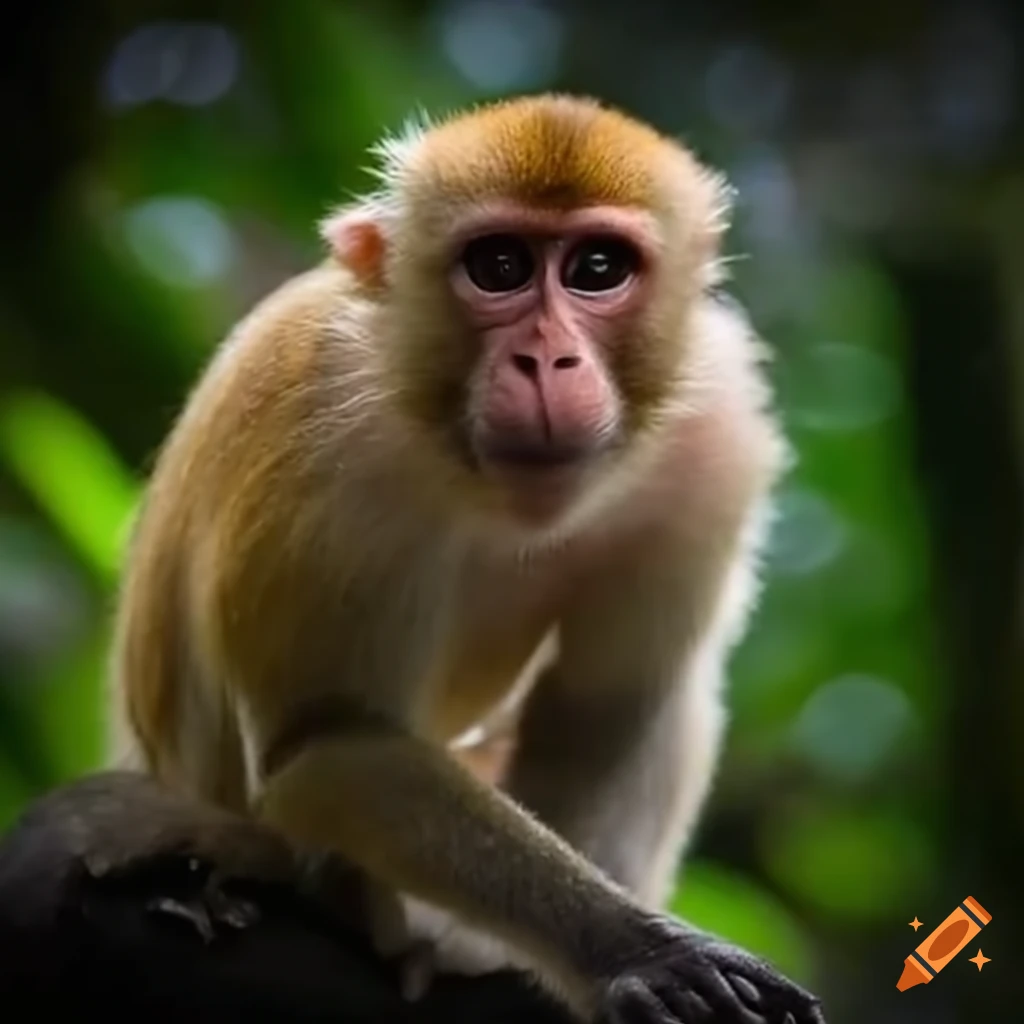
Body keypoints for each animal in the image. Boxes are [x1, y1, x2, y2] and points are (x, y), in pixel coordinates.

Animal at [105, 93, 825, 1024]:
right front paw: (630, 947)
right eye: (499, 266)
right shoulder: (323, 445)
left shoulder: (715, 434)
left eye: (597, 268)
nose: (546, 357)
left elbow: (604, 707)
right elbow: (329, 743)